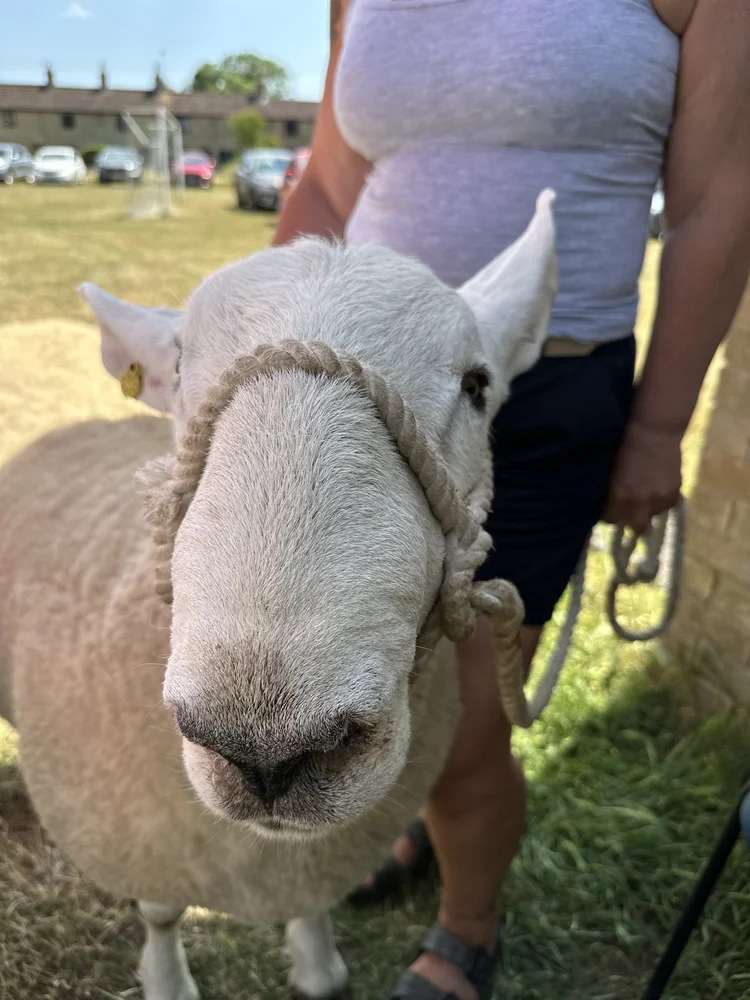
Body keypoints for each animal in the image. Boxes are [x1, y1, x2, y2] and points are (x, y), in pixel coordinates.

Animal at [0, 191, 556, 1000]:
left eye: (477, 385)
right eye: (177, 366)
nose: (265, 750)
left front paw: (318, 965)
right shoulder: (140, 832)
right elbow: (161, 910)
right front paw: (167, 981)